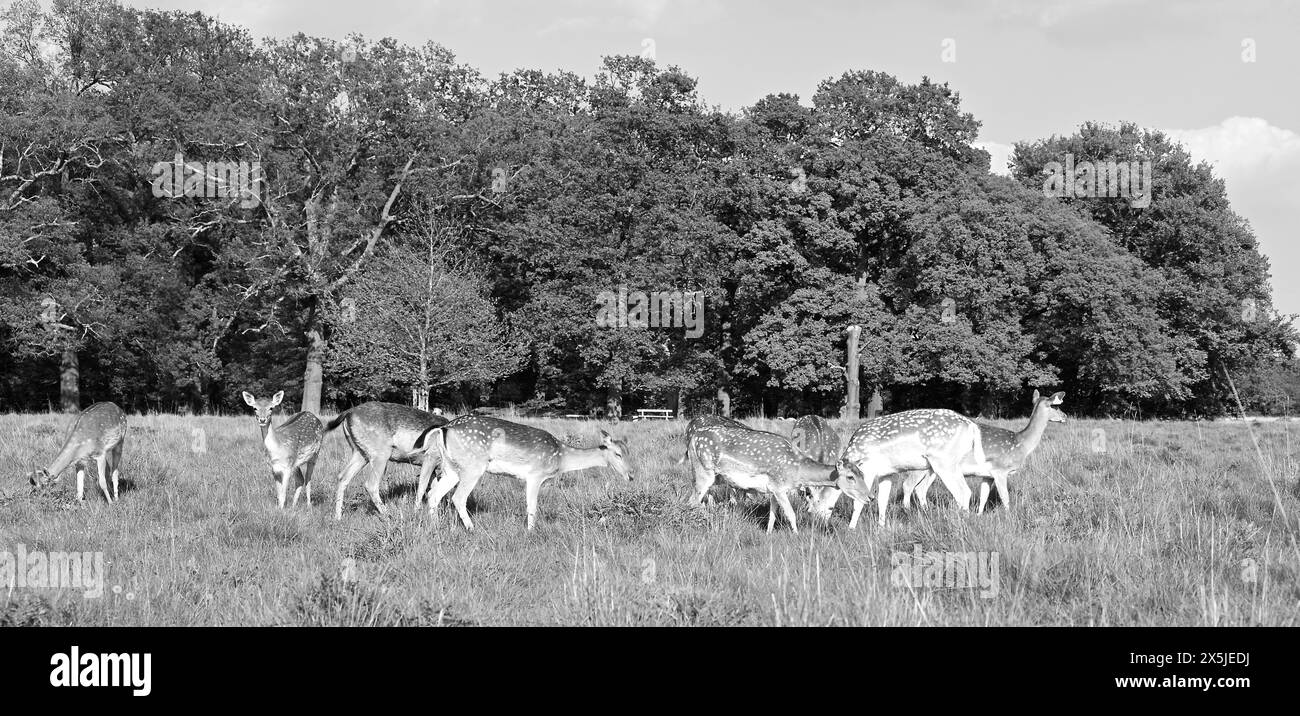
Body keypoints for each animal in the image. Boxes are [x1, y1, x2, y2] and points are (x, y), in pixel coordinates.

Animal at [414, 415, 631, 530]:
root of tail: (444, 427)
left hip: (451, 467)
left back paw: (435, 526)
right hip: (473, 465)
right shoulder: (535, 474)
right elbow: (532, 506)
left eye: (628, 452)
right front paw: (530, 532)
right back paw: (472, 529)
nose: (631, 475)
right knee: (457, 497)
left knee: (433, 494)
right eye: (618, 454)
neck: (561, 457)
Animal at [687, 423, 840, 533]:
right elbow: (790, 513)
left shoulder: (772, 489)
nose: (825, 526)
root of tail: (693, 438)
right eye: (829, 506)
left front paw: (768, 533)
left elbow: (773, 514)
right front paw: (797, 536)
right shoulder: (779, 486)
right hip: (704, 470)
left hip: (715, 477)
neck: (798, 469)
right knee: (692, 501)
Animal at [803, 409, 996, 528]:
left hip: (944, 462)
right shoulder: (887, 473)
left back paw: (960, 522)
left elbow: (860, 501)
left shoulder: (868, 470)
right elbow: (882, 501)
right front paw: (881, 527)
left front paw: (851, 528)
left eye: (814, 504)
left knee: (963, 491)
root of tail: (972, 427)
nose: (817, 524)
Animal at [902, 390, 1067, 514]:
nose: (1065, 416)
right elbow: (1005, 498)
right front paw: (1009, 518)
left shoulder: (987, 475)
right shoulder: (1000, 470)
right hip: (919, 466)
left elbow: (983, 498)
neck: (1021, 444)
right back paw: (908, 512)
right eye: (1055, 406)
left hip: (934, 469)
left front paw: (979, 515)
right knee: (908, 485)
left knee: (920, 488)